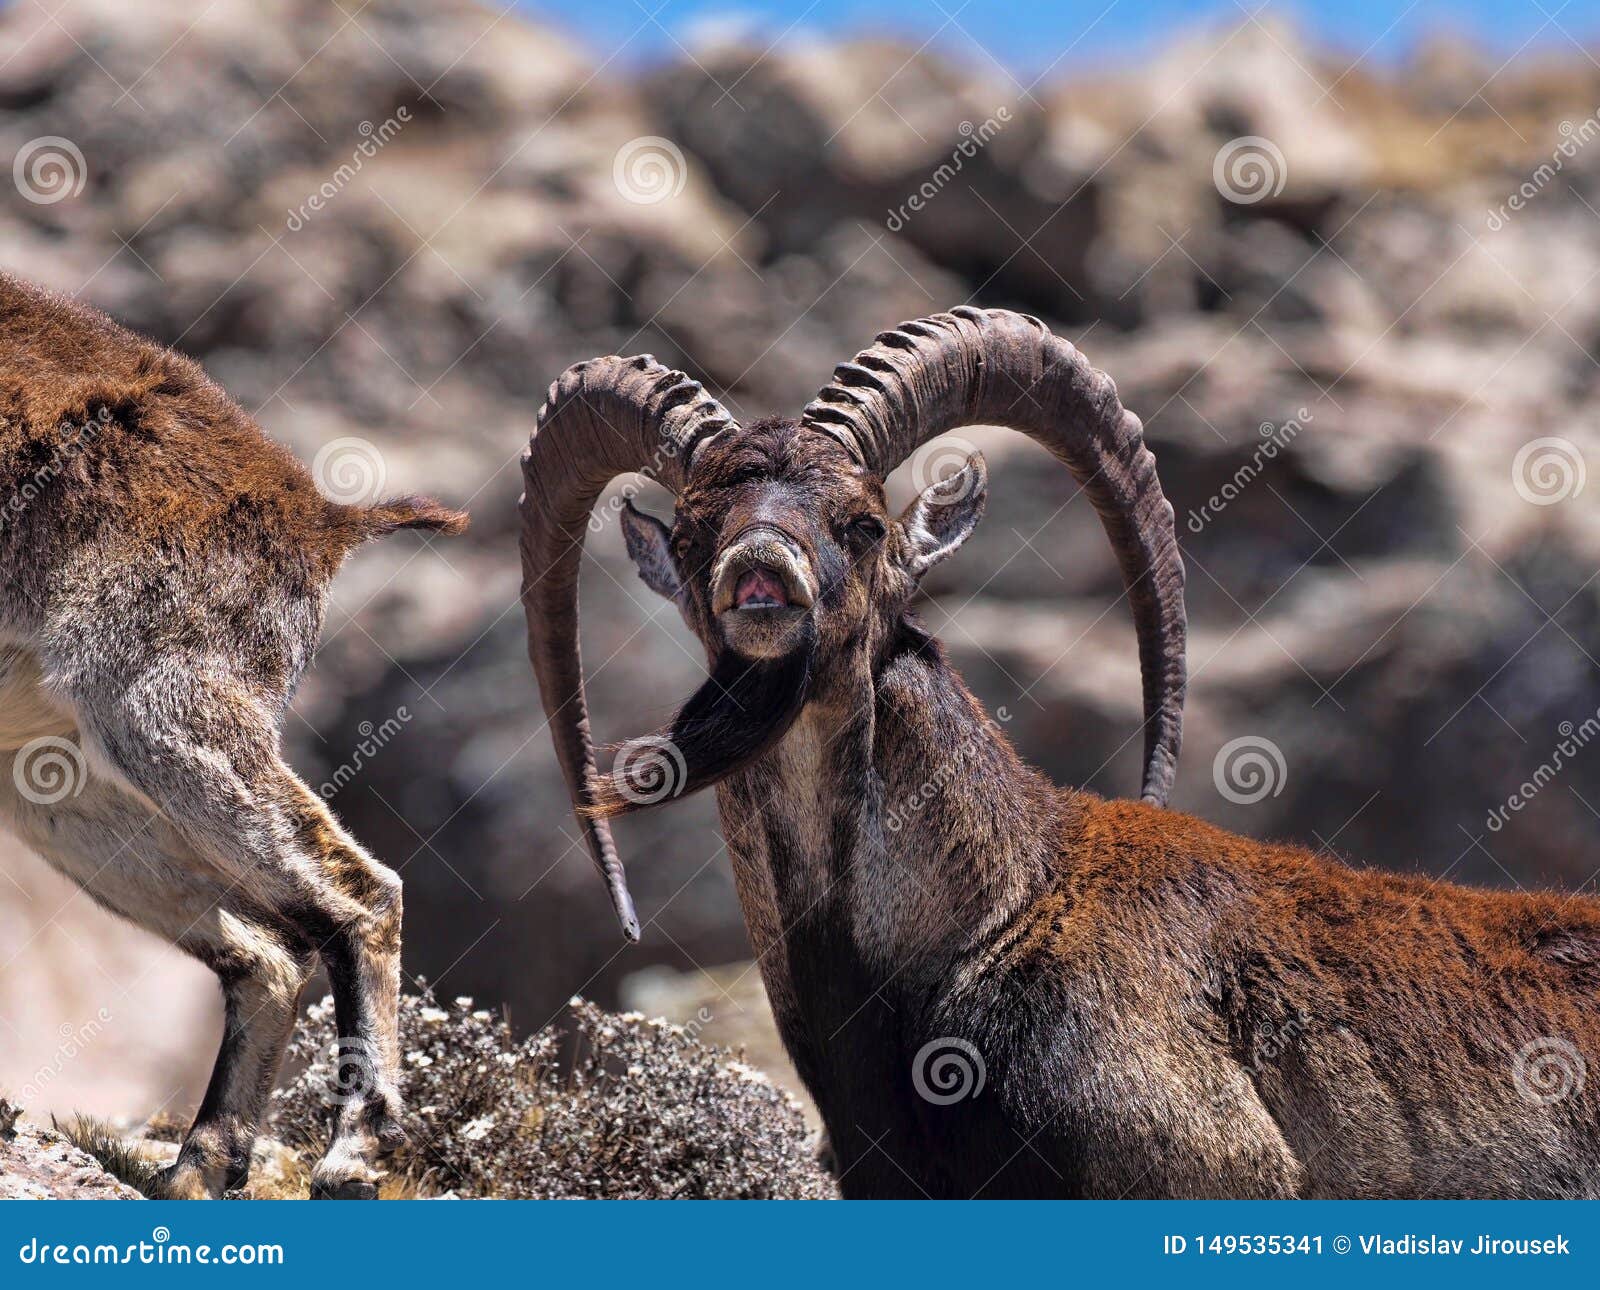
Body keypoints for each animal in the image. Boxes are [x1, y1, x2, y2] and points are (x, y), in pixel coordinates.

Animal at [0, 272, 466, 1198]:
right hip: (49, 774)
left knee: (360, 891)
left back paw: (353, 1155)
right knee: (267, 949)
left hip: (159, 705)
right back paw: (199, 1167)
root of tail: (322, 520)